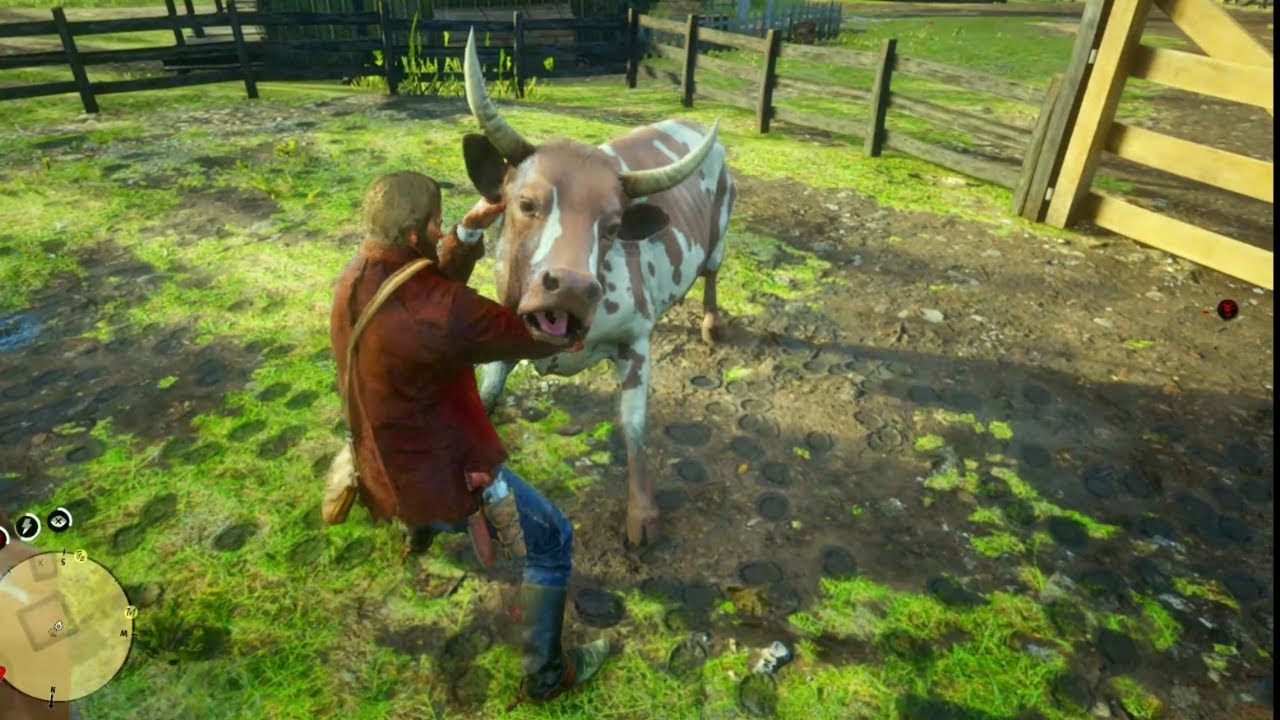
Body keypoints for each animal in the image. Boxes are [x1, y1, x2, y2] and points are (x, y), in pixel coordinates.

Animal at [457, 29, 737, 547]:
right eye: (526, 203)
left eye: (611, 227)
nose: (569, 288)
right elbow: (485, 396)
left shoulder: (636, 342)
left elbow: (633, 425)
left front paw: (641, 513)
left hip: (720, 231)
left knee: (711, 273)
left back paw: (710, 324)